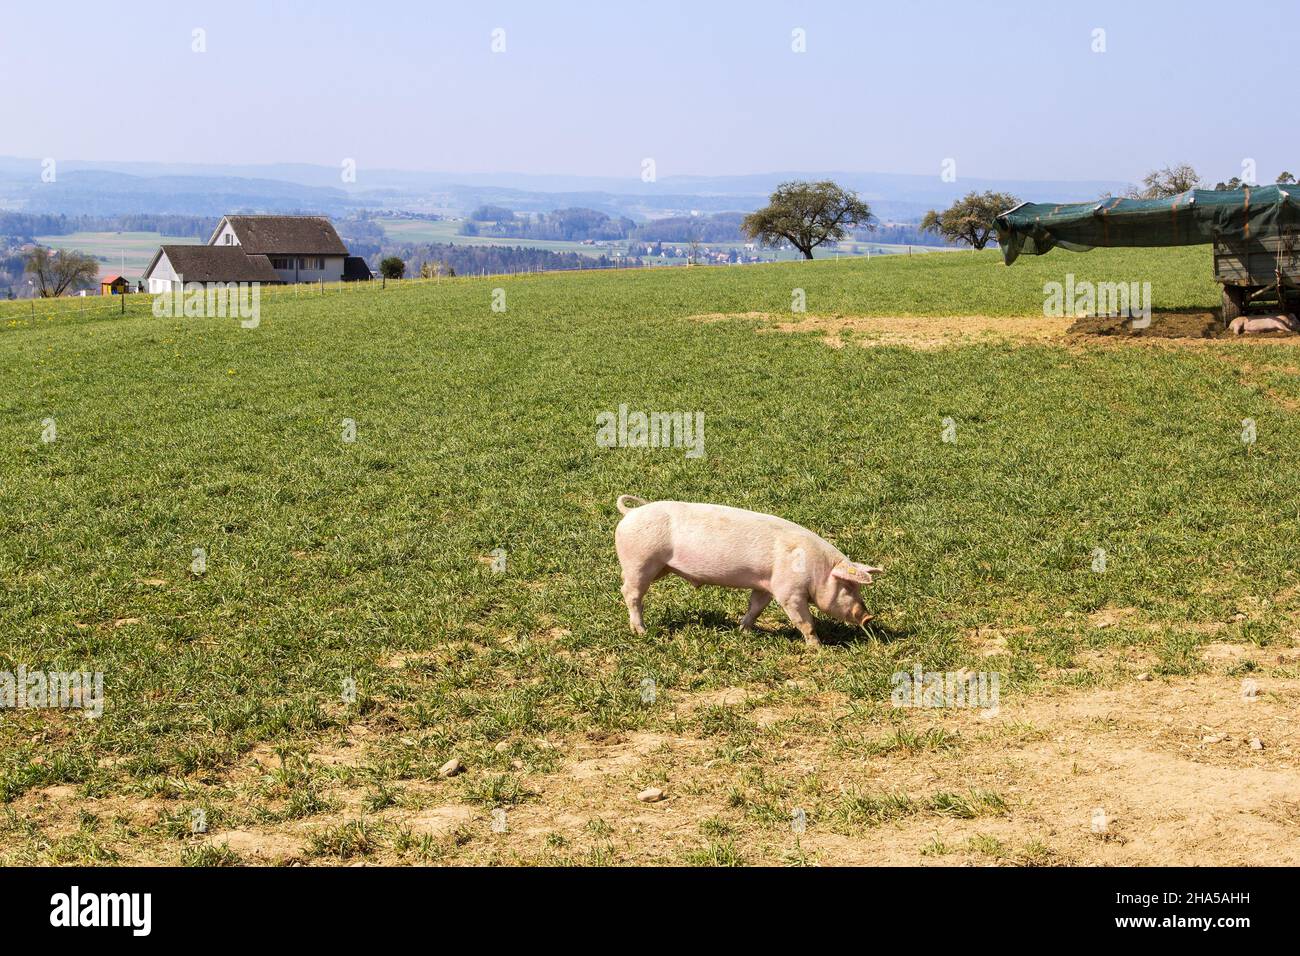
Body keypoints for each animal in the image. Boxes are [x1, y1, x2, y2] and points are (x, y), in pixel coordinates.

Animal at [614, 494, 882, 646]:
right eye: (847, 586)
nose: (869, 616)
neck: (817, 568)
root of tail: (630, 513)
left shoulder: (766, 586)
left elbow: (755, 608)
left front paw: (743, 631)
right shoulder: (789, 591)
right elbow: (804, 621)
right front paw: (817, 647)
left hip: (655, 566)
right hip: (641, 560)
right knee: (630, 593)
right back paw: (641, 632)